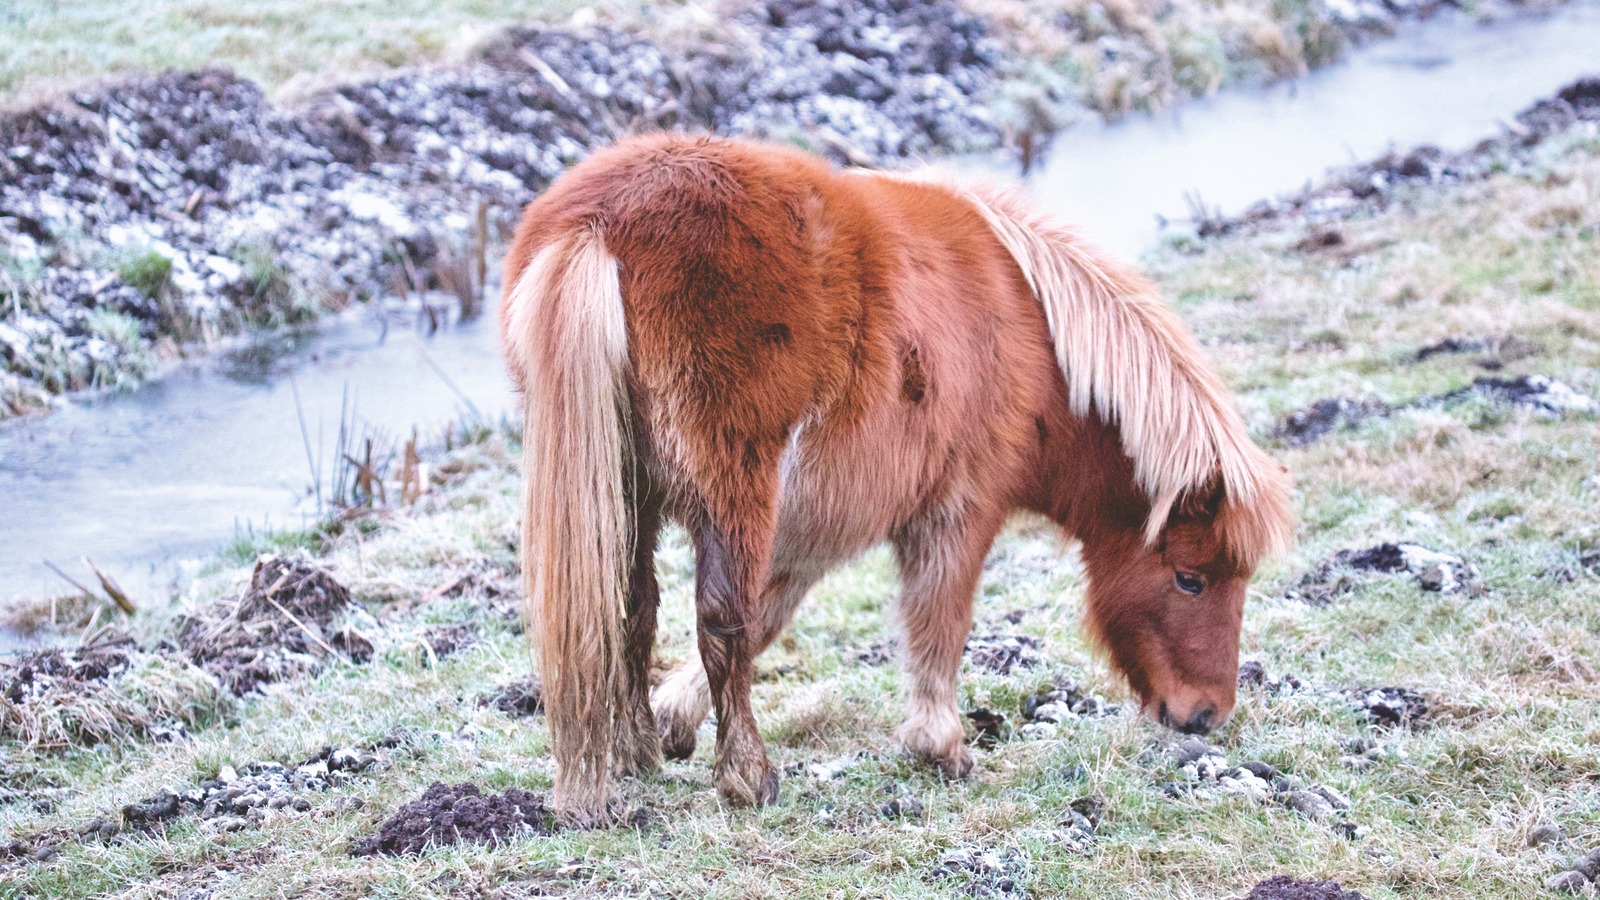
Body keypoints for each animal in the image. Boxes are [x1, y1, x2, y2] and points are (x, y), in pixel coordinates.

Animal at [499, 133, 1293, 827]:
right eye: (1191, 578)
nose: (1205, 714)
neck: (1035, 340)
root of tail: (599, 225)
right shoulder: (956, 512)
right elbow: (936, 619)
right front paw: (941, 748)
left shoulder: (813, 525)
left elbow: (773, 611)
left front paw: (672, 720)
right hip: (732, 490)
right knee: (718, 620)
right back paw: (748, 779)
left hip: (627, 494)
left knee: (630, 612)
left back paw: (634, 755)